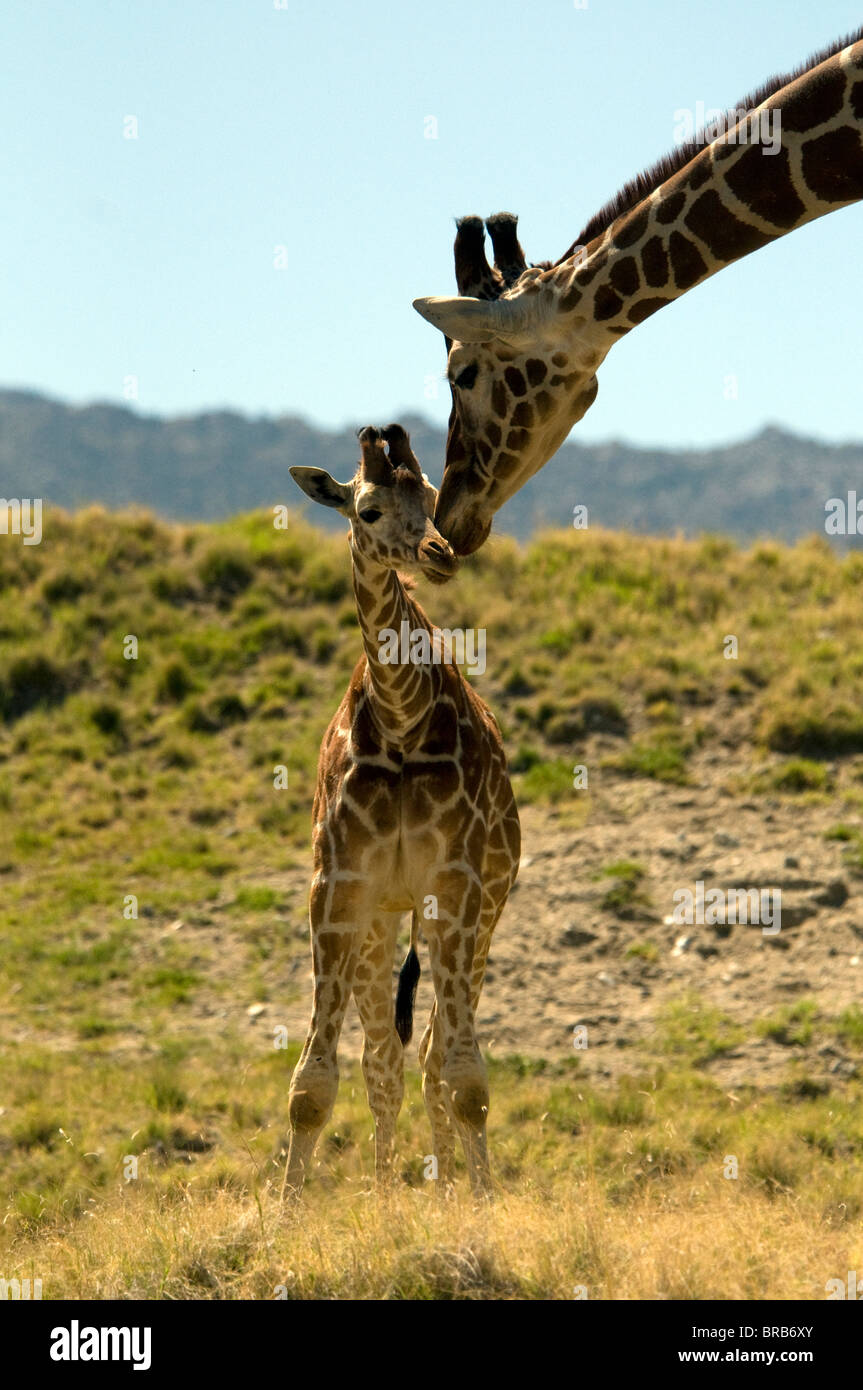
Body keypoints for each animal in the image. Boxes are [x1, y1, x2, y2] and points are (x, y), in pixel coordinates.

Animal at [286, 424, 520, 1197]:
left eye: (430, 495)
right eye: (366, 510)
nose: (440, 554)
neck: (398, 718)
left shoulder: (457, 884)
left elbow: (464, 1076)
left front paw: (478, 1202)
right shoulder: (338, 888)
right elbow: (313, 1085)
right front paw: (283, 1211)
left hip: (479, 913)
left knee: (432, 1058)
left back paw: (446, 1185)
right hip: (383, 918)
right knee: (385, 1058)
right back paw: (391, 1186)